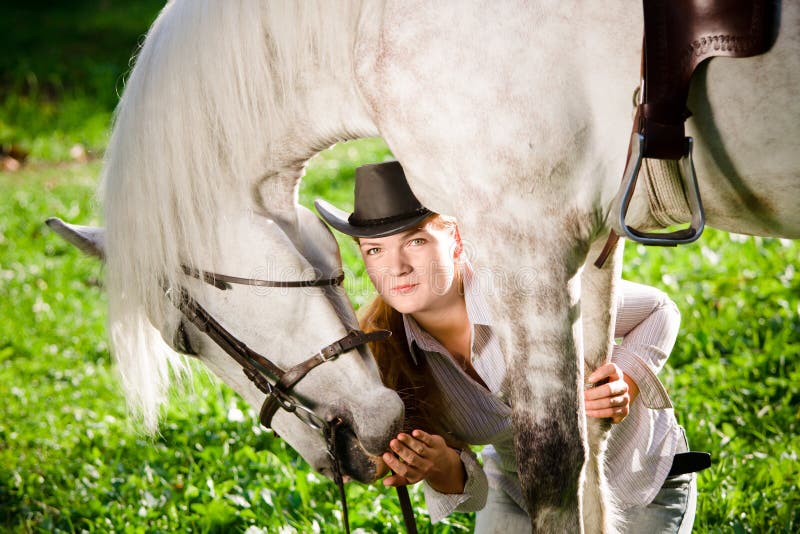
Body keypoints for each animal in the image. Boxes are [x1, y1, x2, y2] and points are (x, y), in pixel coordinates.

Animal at [92, 0, 799, 532]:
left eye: (183, 340)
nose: (335, 458)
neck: (364, 22)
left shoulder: (522, 237)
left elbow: (553, 462)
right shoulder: (598, 241)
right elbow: (598, 436)